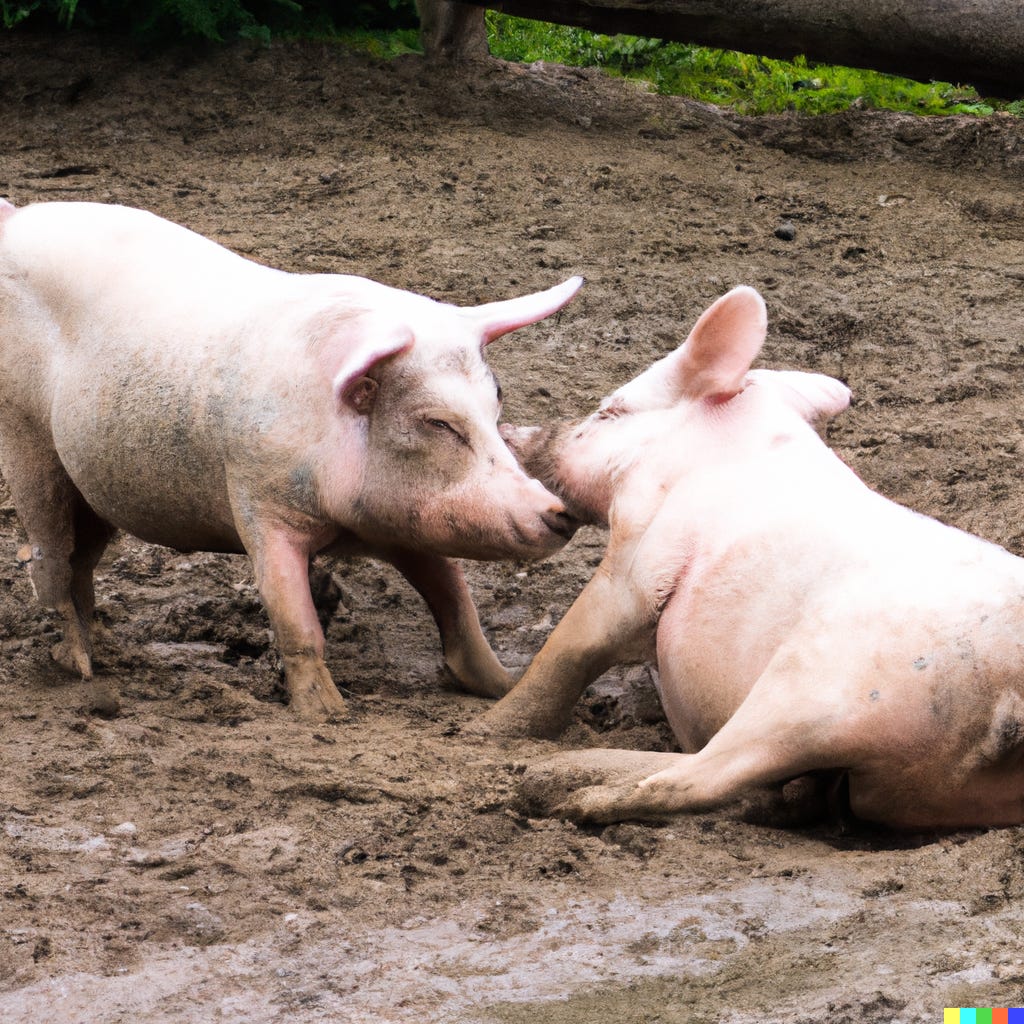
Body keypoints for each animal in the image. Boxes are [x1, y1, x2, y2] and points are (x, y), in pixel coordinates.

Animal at [0, 199, 581, 720]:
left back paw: (110, 648)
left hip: (92, 484)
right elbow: (295, 618)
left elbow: (456, 599)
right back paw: (82, 669)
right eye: (438, 423)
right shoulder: (258, 501)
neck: (345, 524)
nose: (562, 513)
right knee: (48, 558)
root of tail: (17, 216)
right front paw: (328, 715)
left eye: (496, 400)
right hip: (25, 439)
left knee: (82, 562)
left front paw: (502, 685)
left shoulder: (399, 524)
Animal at [473, 286, 1024, 829]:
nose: (513, 431)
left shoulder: (638, 559)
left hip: (827, 690)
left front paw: (484, 731)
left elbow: (568, 651)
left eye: (609, 412)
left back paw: (565, 795)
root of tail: (1009, 699)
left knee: (706, 777)